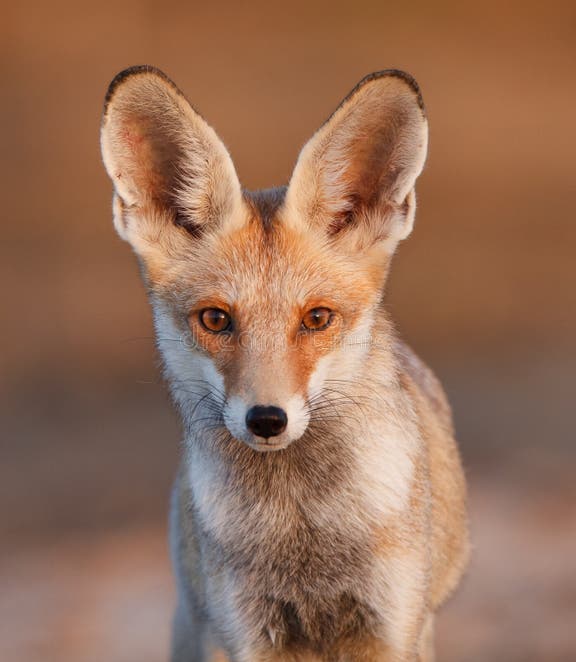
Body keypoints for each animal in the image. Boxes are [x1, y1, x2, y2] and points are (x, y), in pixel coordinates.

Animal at [100, 65, 469, 662]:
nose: (267, 420)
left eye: (316, 318)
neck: (301, 533)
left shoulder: (390, 627)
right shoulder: (250, 633)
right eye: (215, 319)